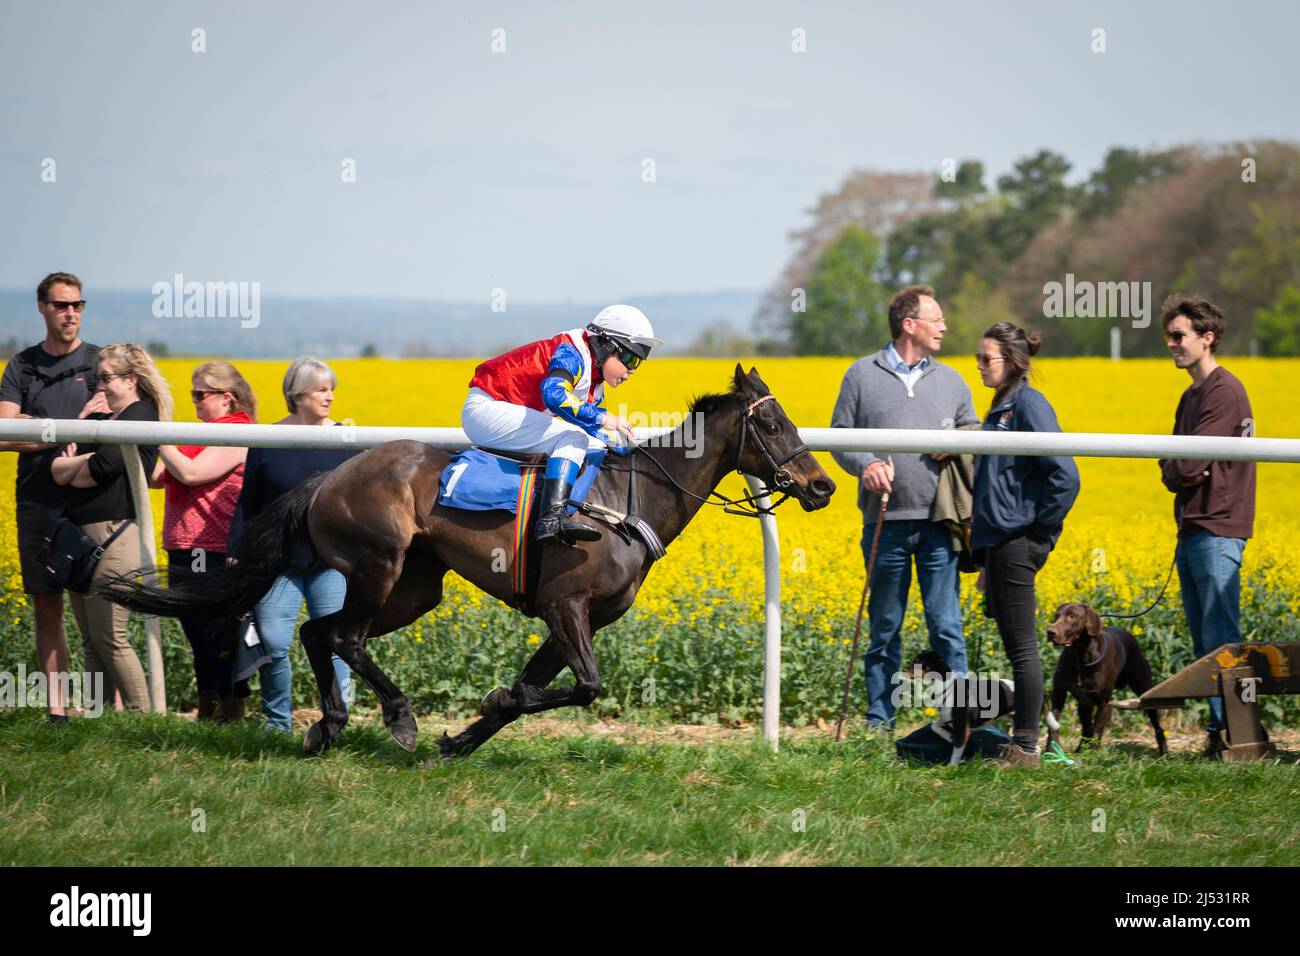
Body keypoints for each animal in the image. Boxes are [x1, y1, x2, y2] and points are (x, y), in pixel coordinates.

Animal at [101, 365, 835, 758]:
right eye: (773, 426)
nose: (823, 485)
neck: (627, 502)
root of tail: (328, 475)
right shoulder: (564, 605)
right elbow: (583, 687)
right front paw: (487, 702)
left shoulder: (576, 619)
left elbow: (541, 689)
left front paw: (466, 736)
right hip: (380, 563)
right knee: (344, 636)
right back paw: (398, 719)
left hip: (415, 587)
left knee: (319, 632)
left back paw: (329, 727)